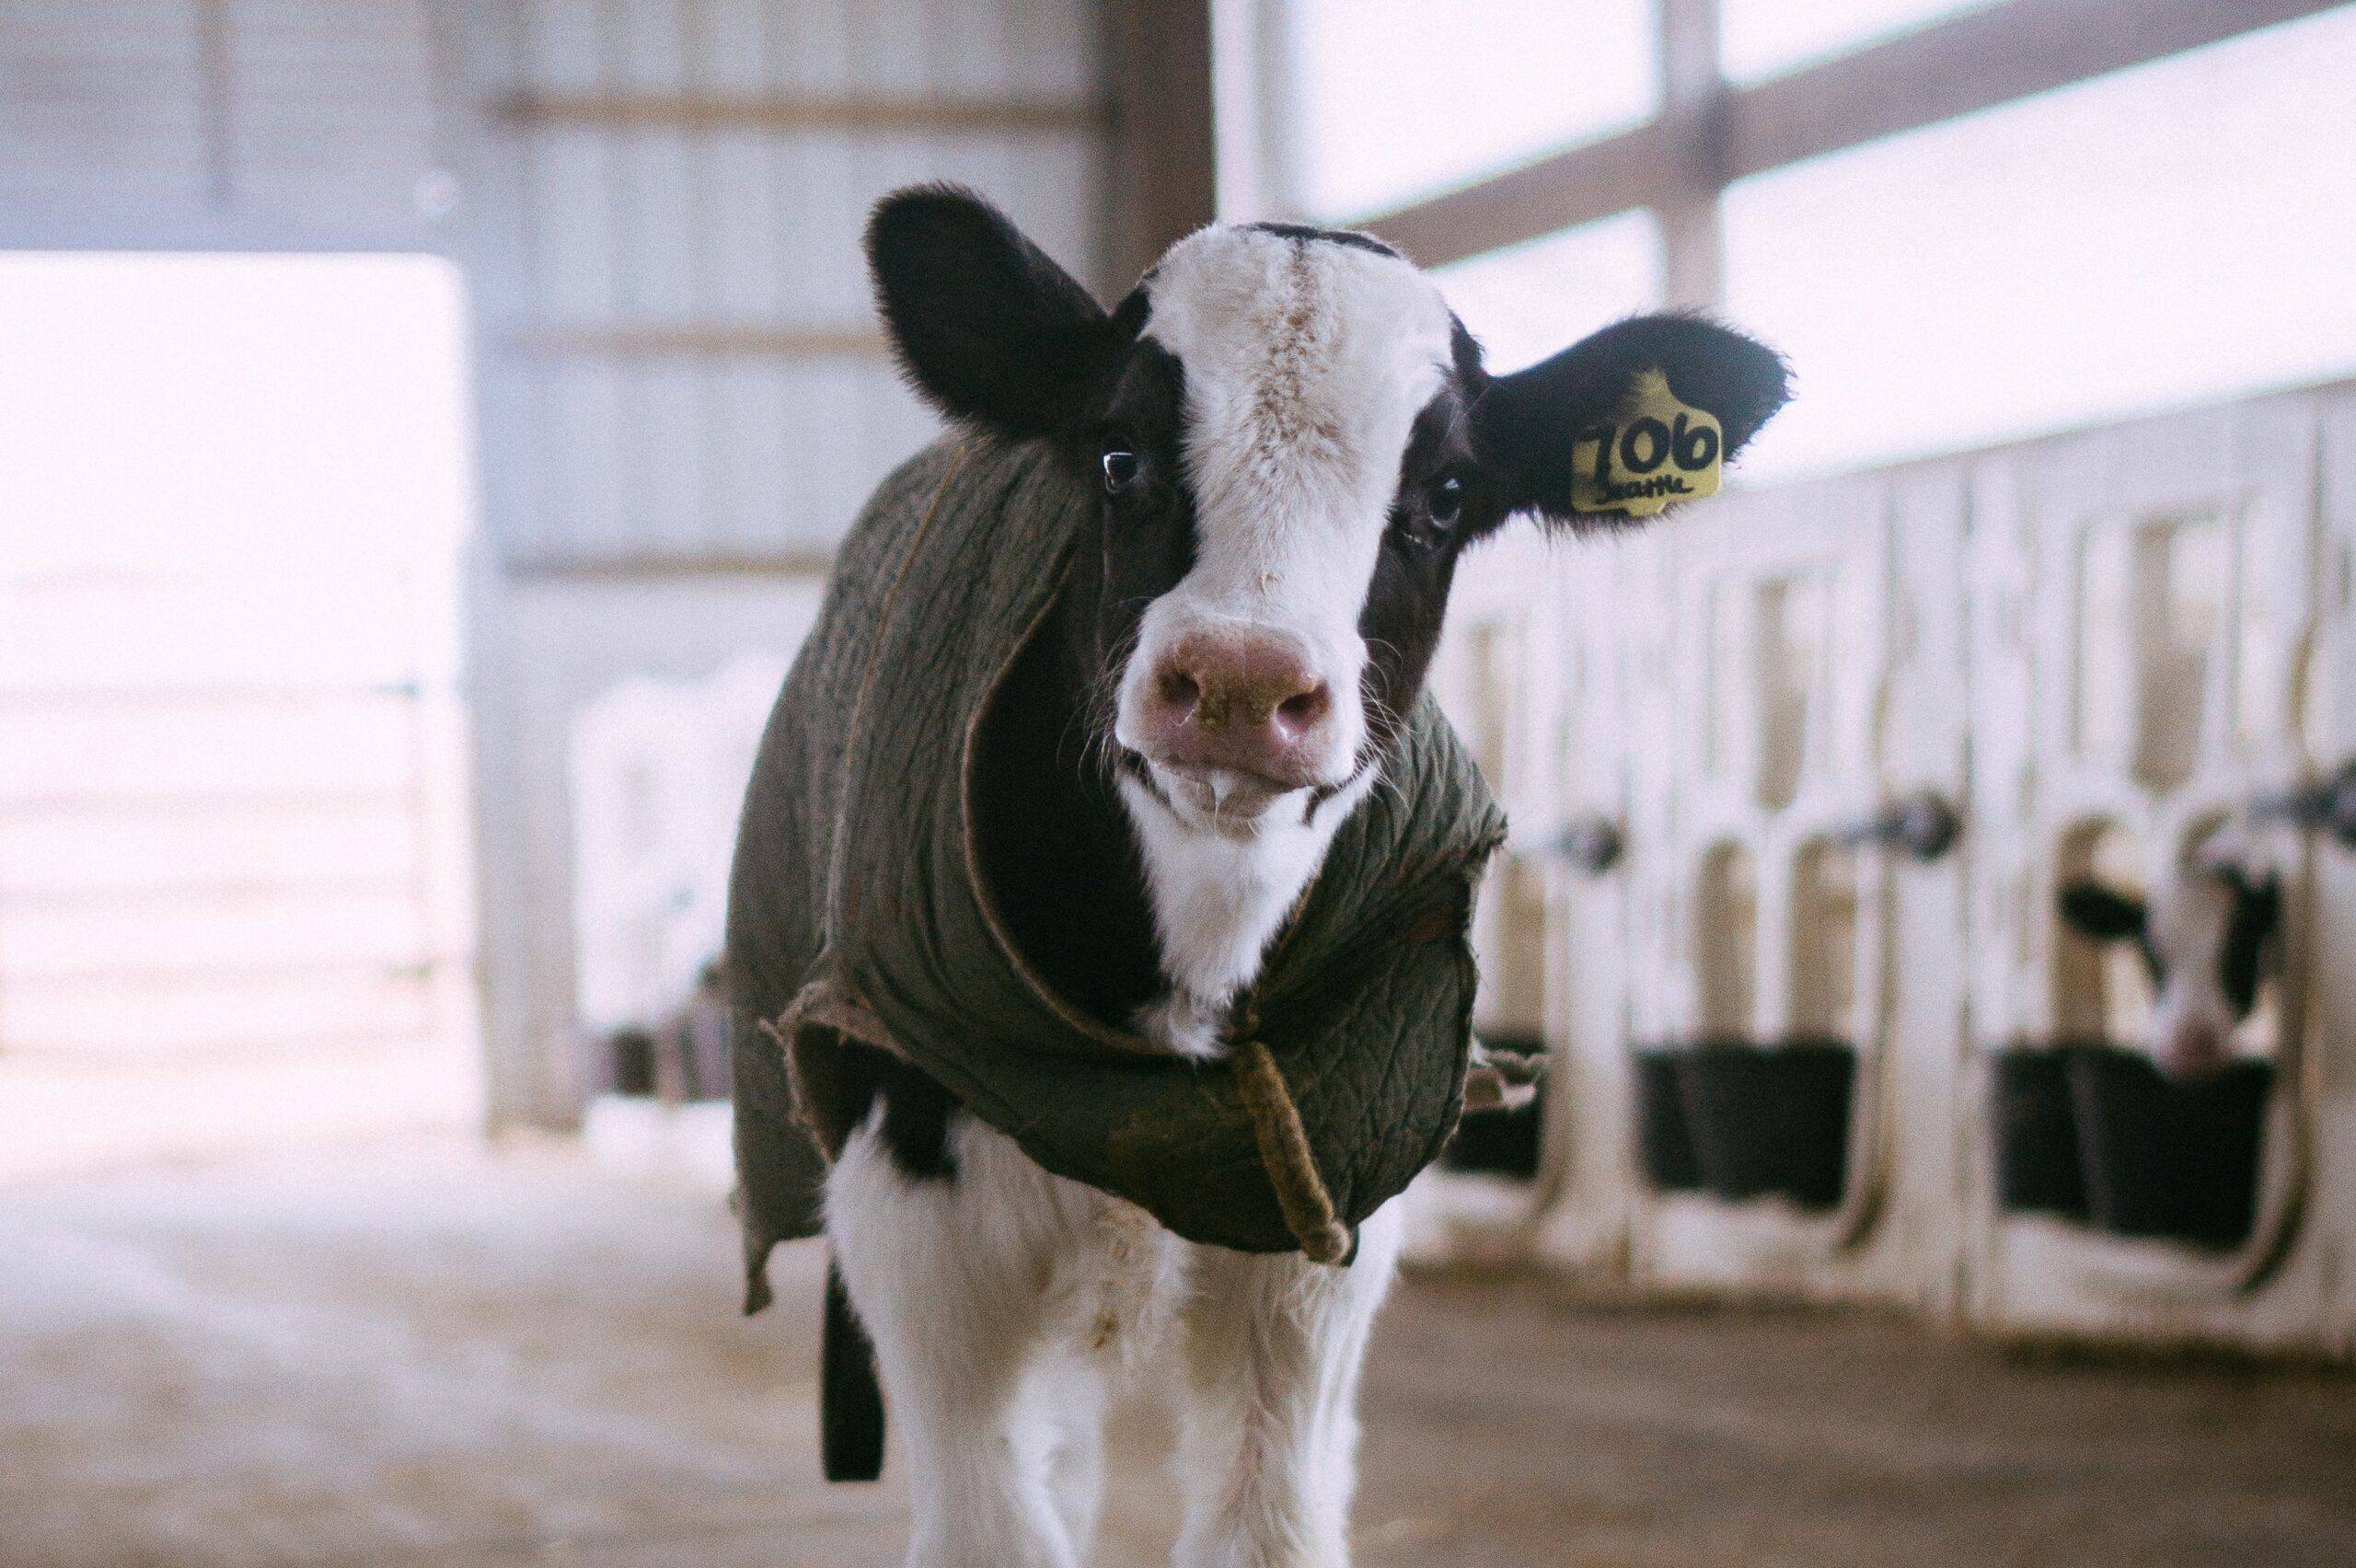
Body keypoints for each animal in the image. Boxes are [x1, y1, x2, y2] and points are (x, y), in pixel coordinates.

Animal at [741, 186, 1789, 1568]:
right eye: (1119, 453)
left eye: (1446, 493)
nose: (1242, 683)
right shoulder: (911, 1201)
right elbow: (993, 1530)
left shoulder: (1326, 1217)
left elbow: (1271, 1529)